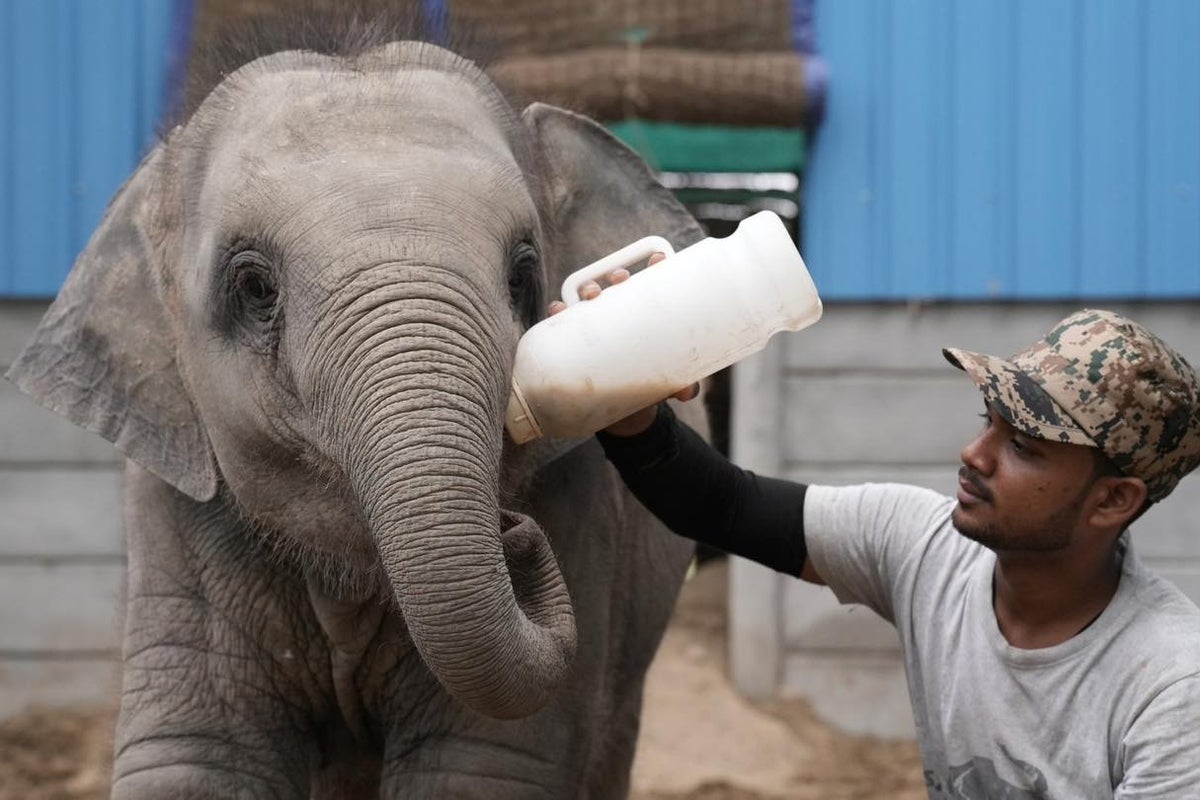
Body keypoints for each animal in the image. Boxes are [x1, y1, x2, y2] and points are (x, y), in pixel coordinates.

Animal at [7, 16, 708, 800]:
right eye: (255, 287)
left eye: (524, 272)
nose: (518, 530)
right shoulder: (175, 509)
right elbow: (203, 758)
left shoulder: (579, 502)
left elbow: (479, 765)